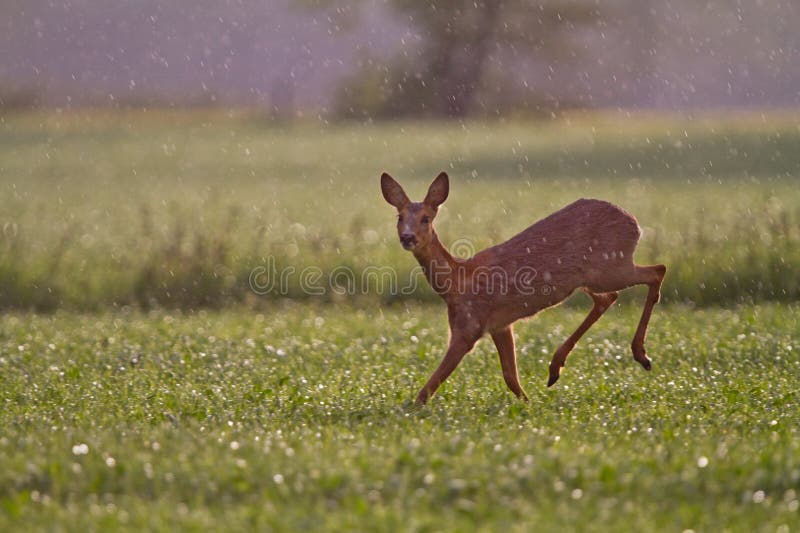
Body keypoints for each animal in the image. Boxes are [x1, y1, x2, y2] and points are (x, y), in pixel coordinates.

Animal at [380, 171, 666, 405]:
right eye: (399, 217)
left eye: (426, 218)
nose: (407, 237)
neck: (456, 282)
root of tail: (635, 224)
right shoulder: (499, 325)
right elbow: (510, 375)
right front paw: (529, 403)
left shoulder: (468, 326)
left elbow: (432, 384)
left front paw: (408, 408)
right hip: (590, 277)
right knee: (609, 296)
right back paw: (555, 369)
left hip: (609, 267)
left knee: (656, 271)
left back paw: (641, 355)